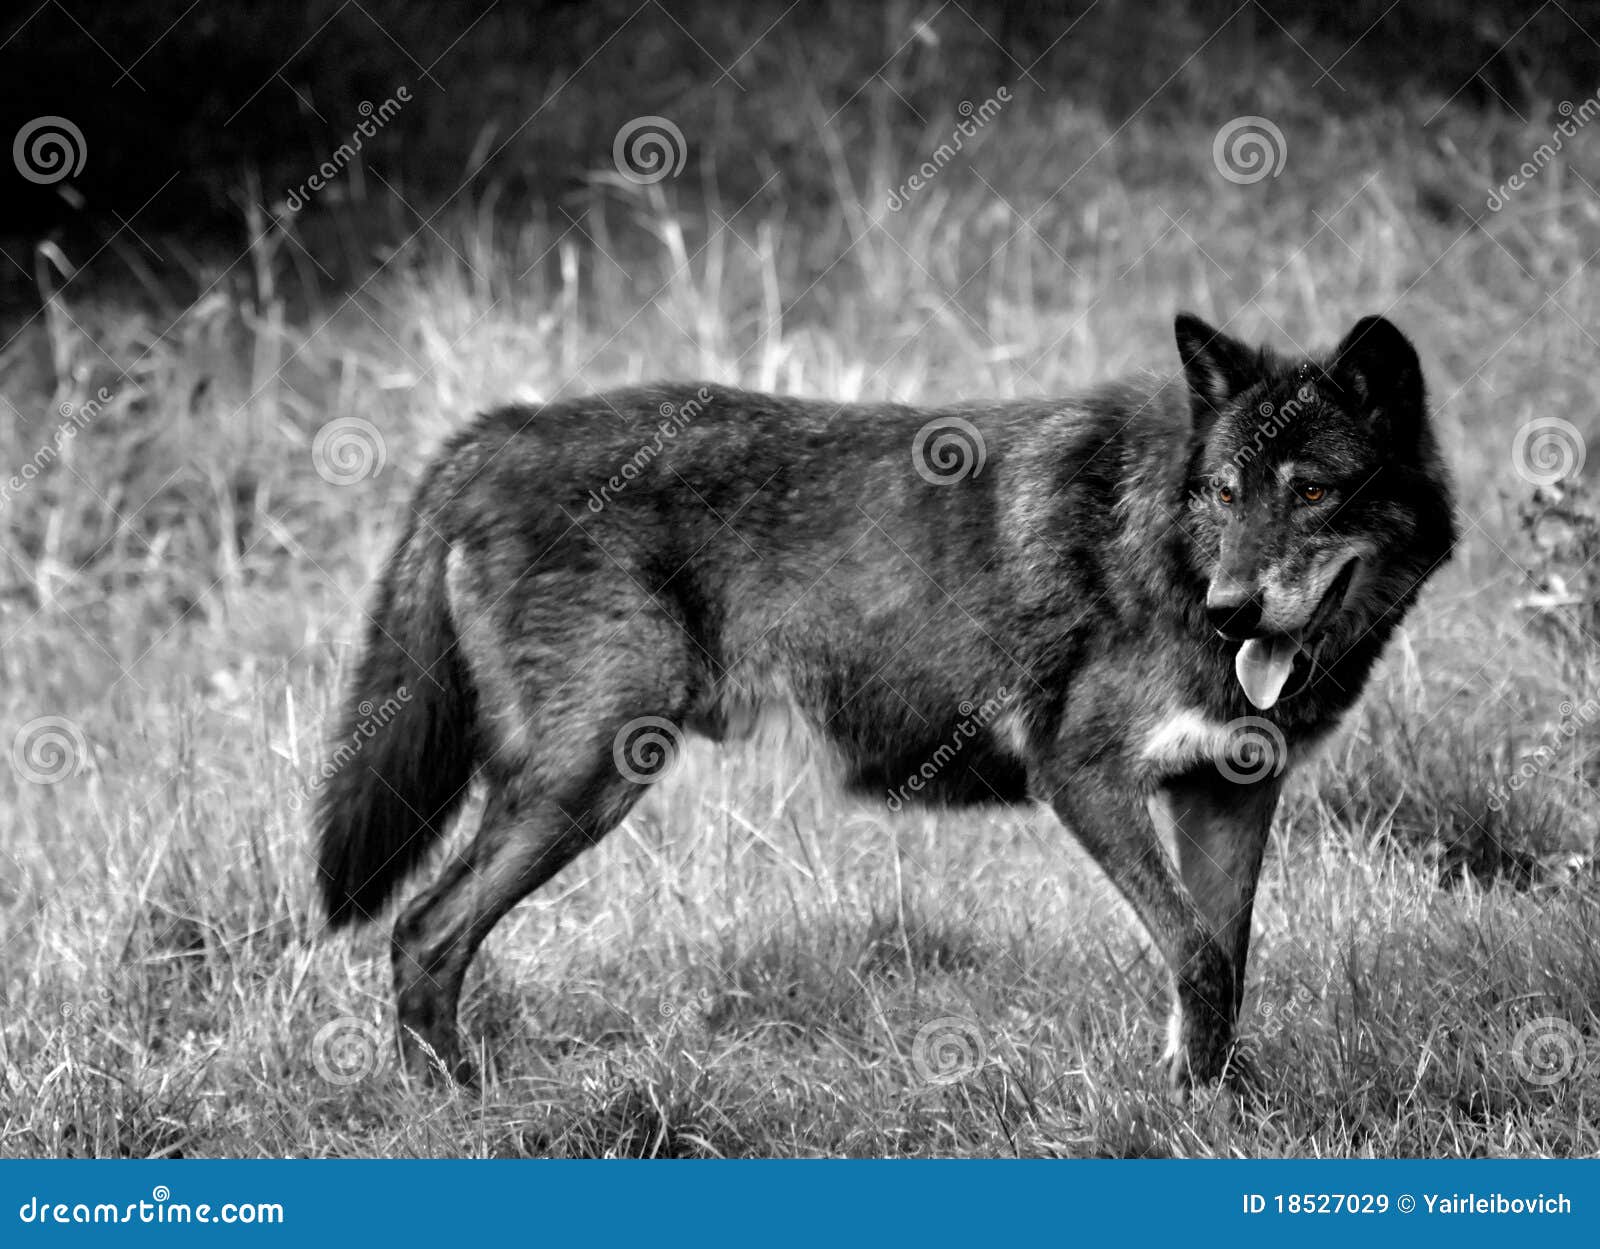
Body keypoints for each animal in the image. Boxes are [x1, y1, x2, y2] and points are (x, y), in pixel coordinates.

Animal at [314, 312, 1455, 1089]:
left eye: (1313, 492)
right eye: (1223, 492)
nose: (1231, 610)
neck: (1167, 553)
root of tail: (490, 432)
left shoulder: (1225, 791)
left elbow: (1223, 960)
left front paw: (1207, 1106)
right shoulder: (1084, 778)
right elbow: (1194, 953)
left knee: (424, 933)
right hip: (586, 780)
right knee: (422, 929)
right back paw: (457, 1103)